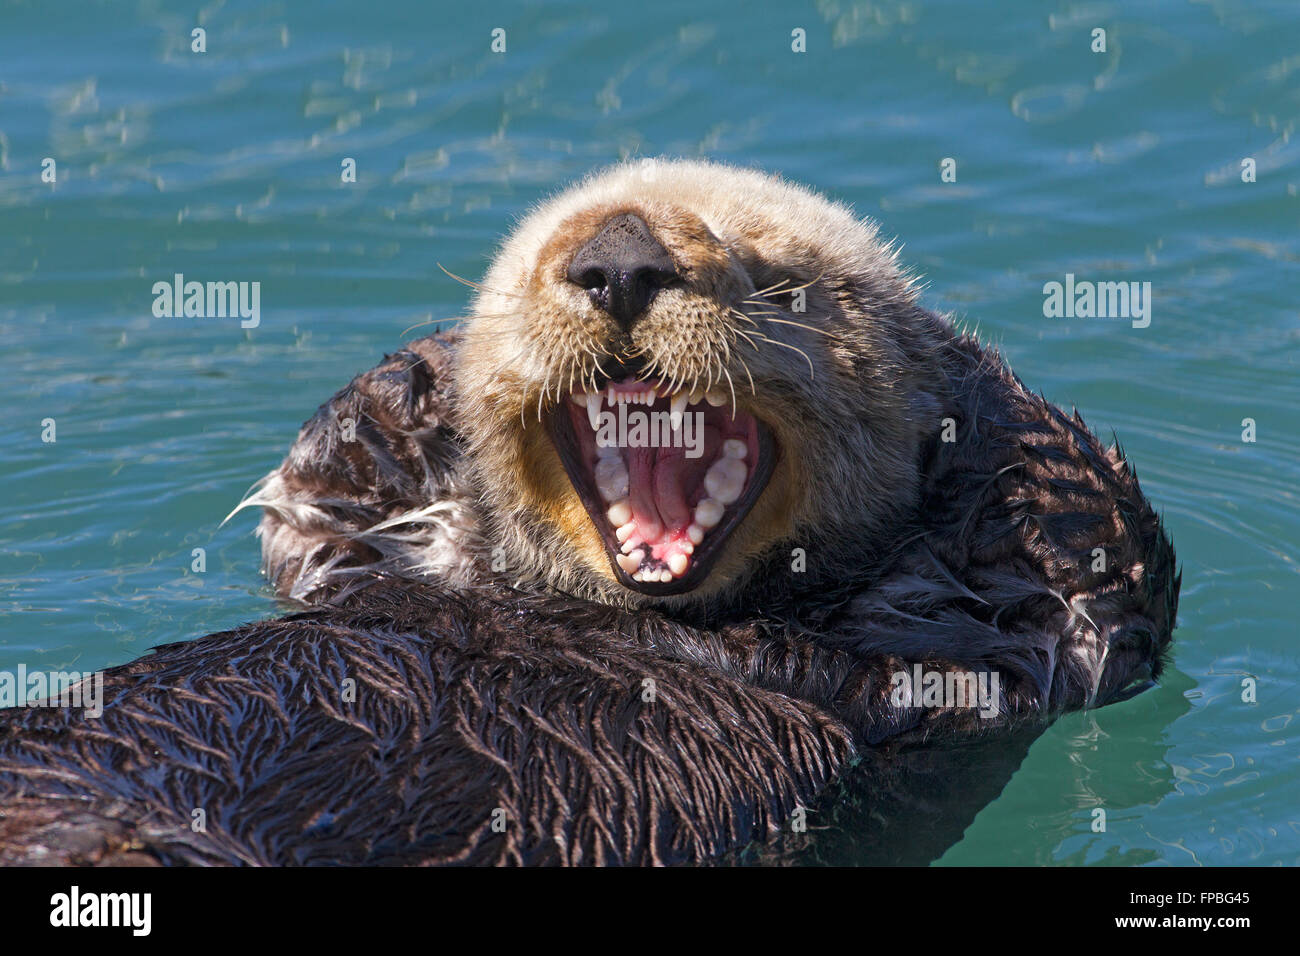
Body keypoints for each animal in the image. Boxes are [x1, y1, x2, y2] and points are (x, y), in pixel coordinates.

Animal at [0, 160, 1177, 865]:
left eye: (780, 277)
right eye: (543, 259)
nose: (617, 261)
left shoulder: (971, 674)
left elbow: (1101, 579)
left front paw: (968, 398)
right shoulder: (341, 557)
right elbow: (315, 514)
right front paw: (419, 381)